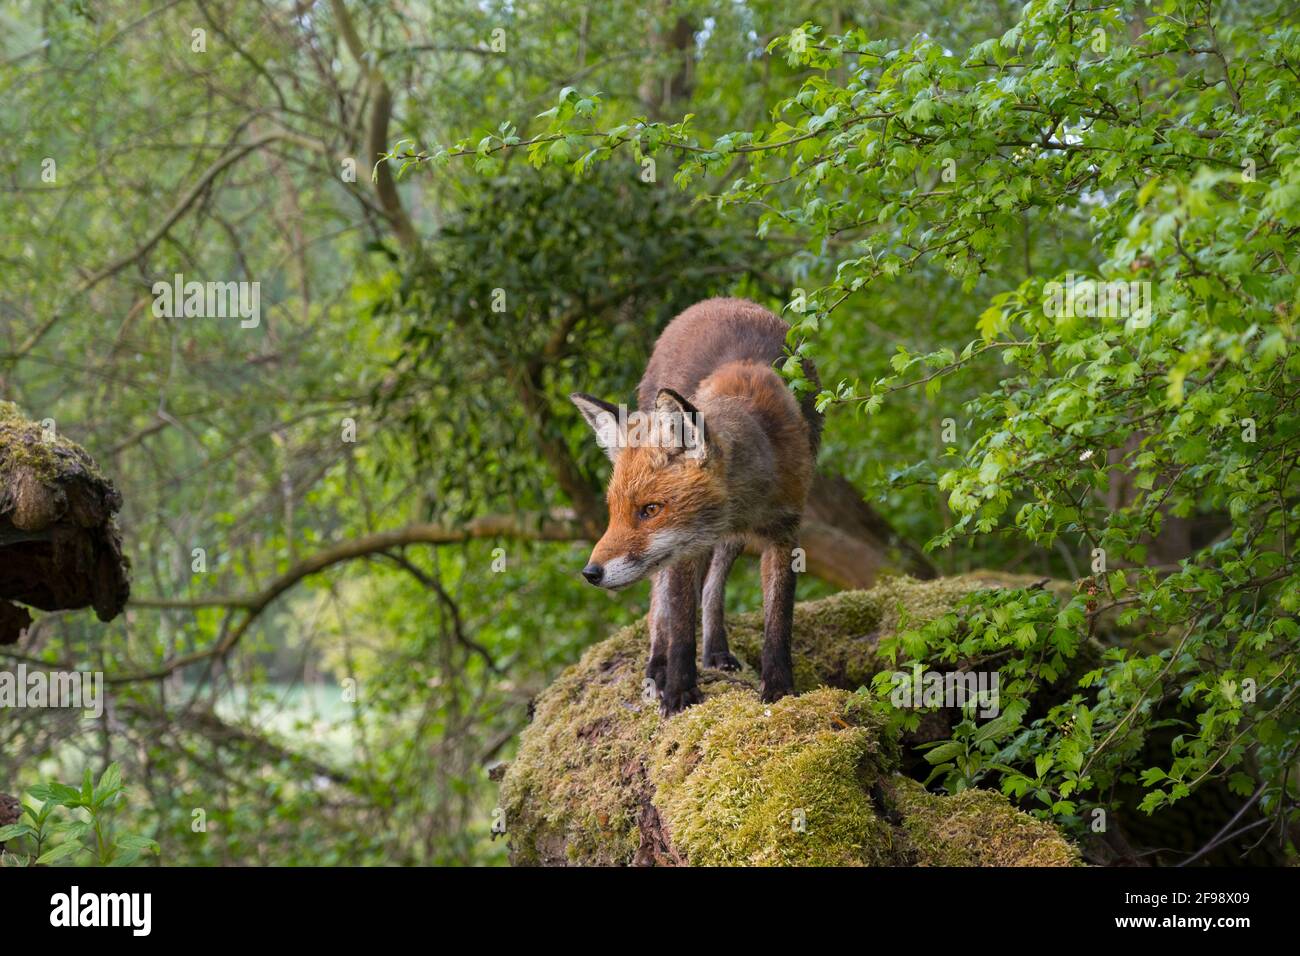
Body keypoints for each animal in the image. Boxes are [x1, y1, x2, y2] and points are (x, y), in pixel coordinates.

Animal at [570, 297, 822, 715]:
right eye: (614, 511)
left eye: (650, 509)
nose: (591, 573)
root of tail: (717, 301)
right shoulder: (683, 549)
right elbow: (680, 624)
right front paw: (678, 691)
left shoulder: (783, 531)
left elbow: (778, 621)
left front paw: (779, 688)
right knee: (659, 605)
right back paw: (657, 667)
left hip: (728, 540)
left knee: (712, 589)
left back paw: (715, 650)